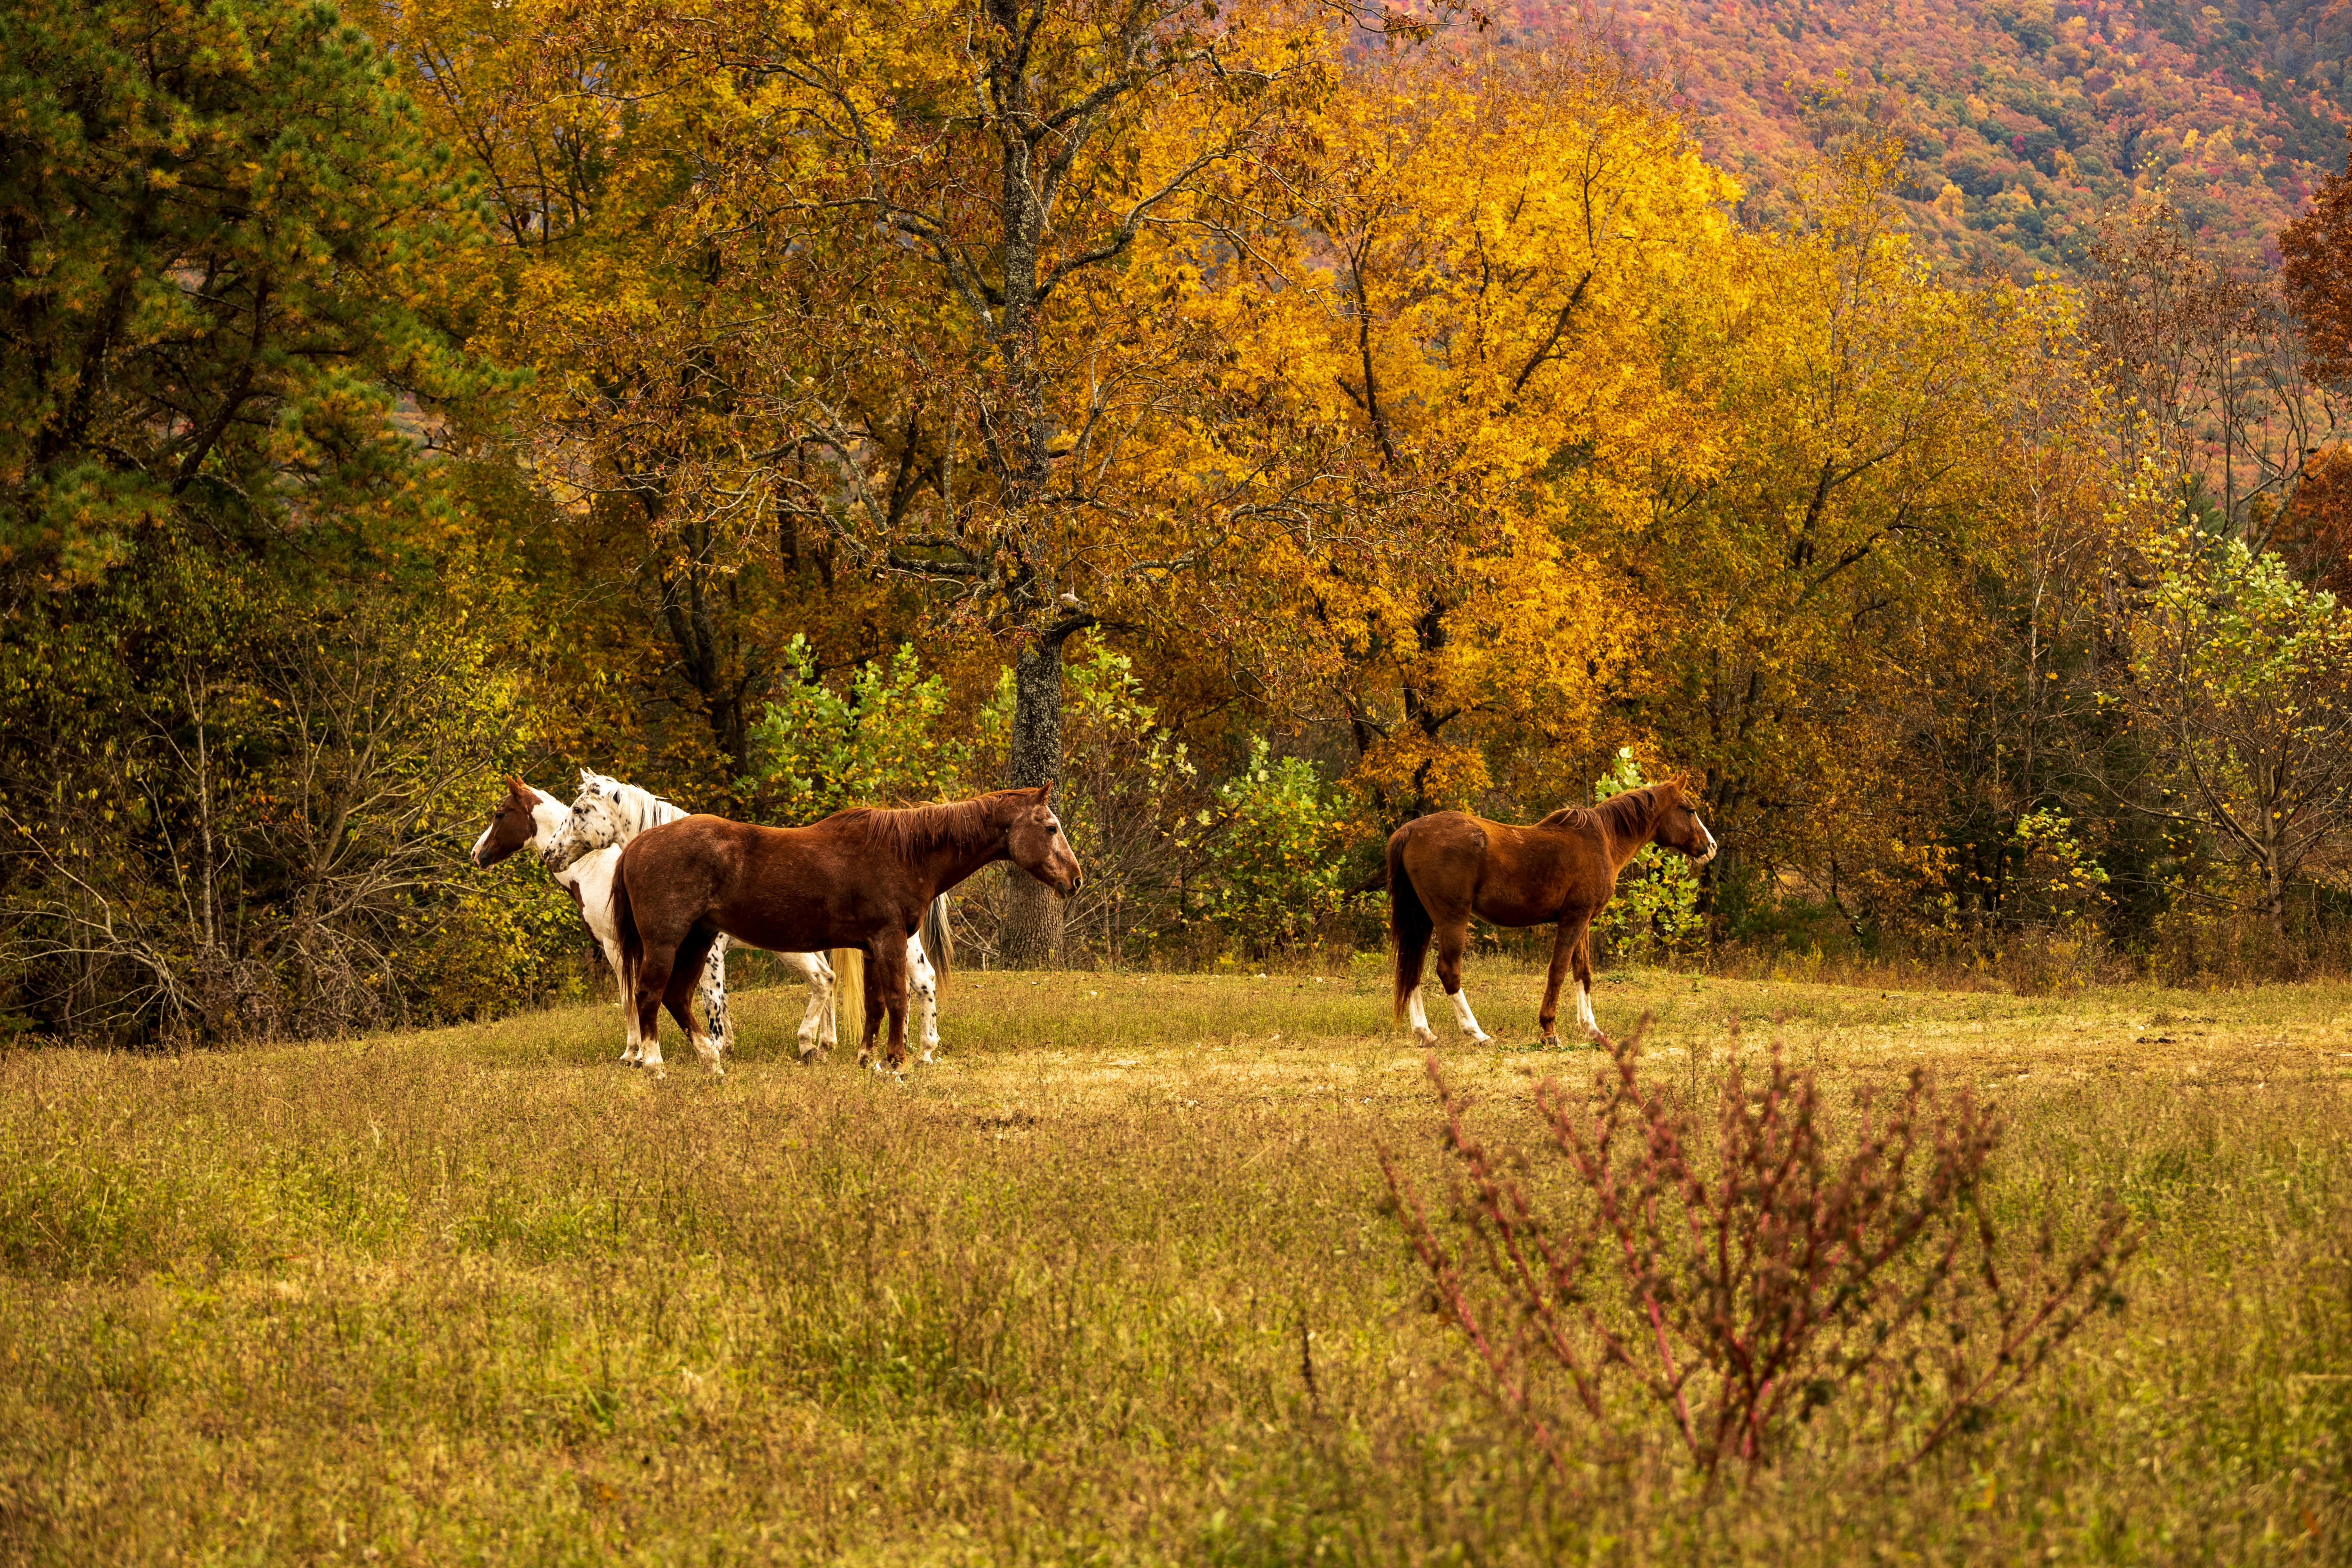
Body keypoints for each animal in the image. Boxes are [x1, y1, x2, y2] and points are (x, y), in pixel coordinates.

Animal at [468, 777, 833, 1061]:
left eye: (500, 814)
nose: (476, 854)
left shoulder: (619, 947)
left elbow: (634, 997)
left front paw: (635, 1054)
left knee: (821, 980)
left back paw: (808, 1044)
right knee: (828, 979)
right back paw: (826, 1043)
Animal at [541, 770, 954, 1064]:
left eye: (579, 811)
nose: (549, 854)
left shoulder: (710, 952)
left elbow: (711, 999)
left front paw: (716, 1048)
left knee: (915, 981)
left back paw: (916, 1049)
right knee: (899, 982)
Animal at [611, 784, 1081, 1078]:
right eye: (1051, 827)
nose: (1075, 880)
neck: (906, 852)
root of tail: (637, 846)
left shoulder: (872, 946)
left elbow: (875, 1005)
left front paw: (868, 1059)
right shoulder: (888, 939)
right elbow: (897, 1000)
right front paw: (896, 1061)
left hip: (697, 940)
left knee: (676, 997)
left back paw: (711, 1062)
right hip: (667, 942)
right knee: (650, 996)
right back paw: (655, 1065)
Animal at [1384, 779, 1717, 1049]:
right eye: (1690, 810)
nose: (1711, 847)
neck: (1602, 840)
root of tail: (1412, 830)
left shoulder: (1583, 921)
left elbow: (1583, 973)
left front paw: (1591, 1029)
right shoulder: (1573, 919)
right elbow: (1558, 971)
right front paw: (1549, 1031)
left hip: (1422, 920)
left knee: (1413, 970)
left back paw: (1425, 1034)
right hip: (1452, 918)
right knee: (1448, 971)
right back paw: (1477, 1033)